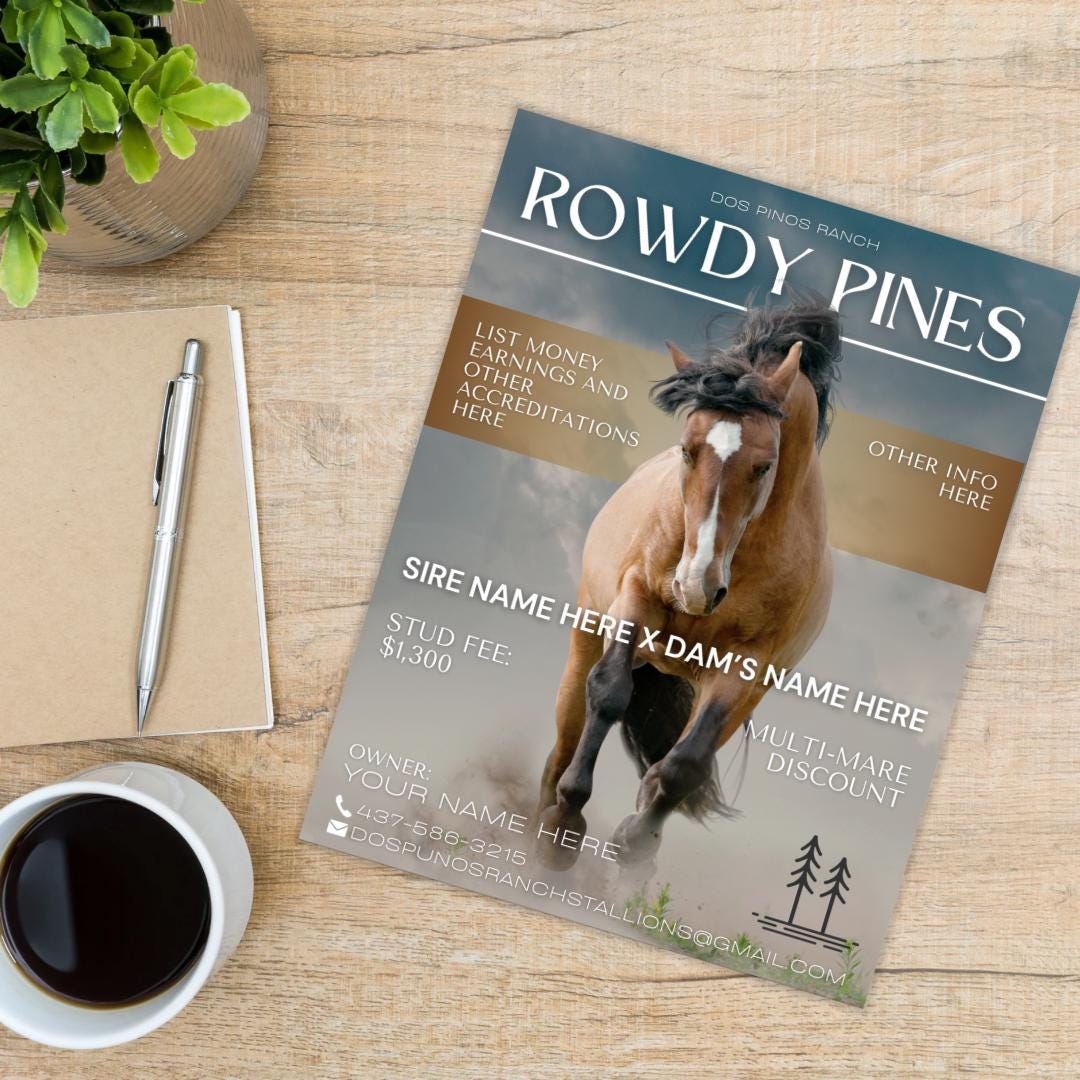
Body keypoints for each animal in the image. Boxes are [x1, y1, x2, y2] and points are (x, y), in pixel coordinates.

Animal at [537, 300, 841, 868]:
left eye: (764, 465)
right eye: (686, 450)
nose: (697, 585)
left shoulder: (746, 667)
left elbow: (686, 764)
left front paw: (634, 841)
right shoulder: (636, 598)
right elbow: (609, 693)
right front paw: (566, 821)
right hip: (586, 640)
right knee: (561, 746)